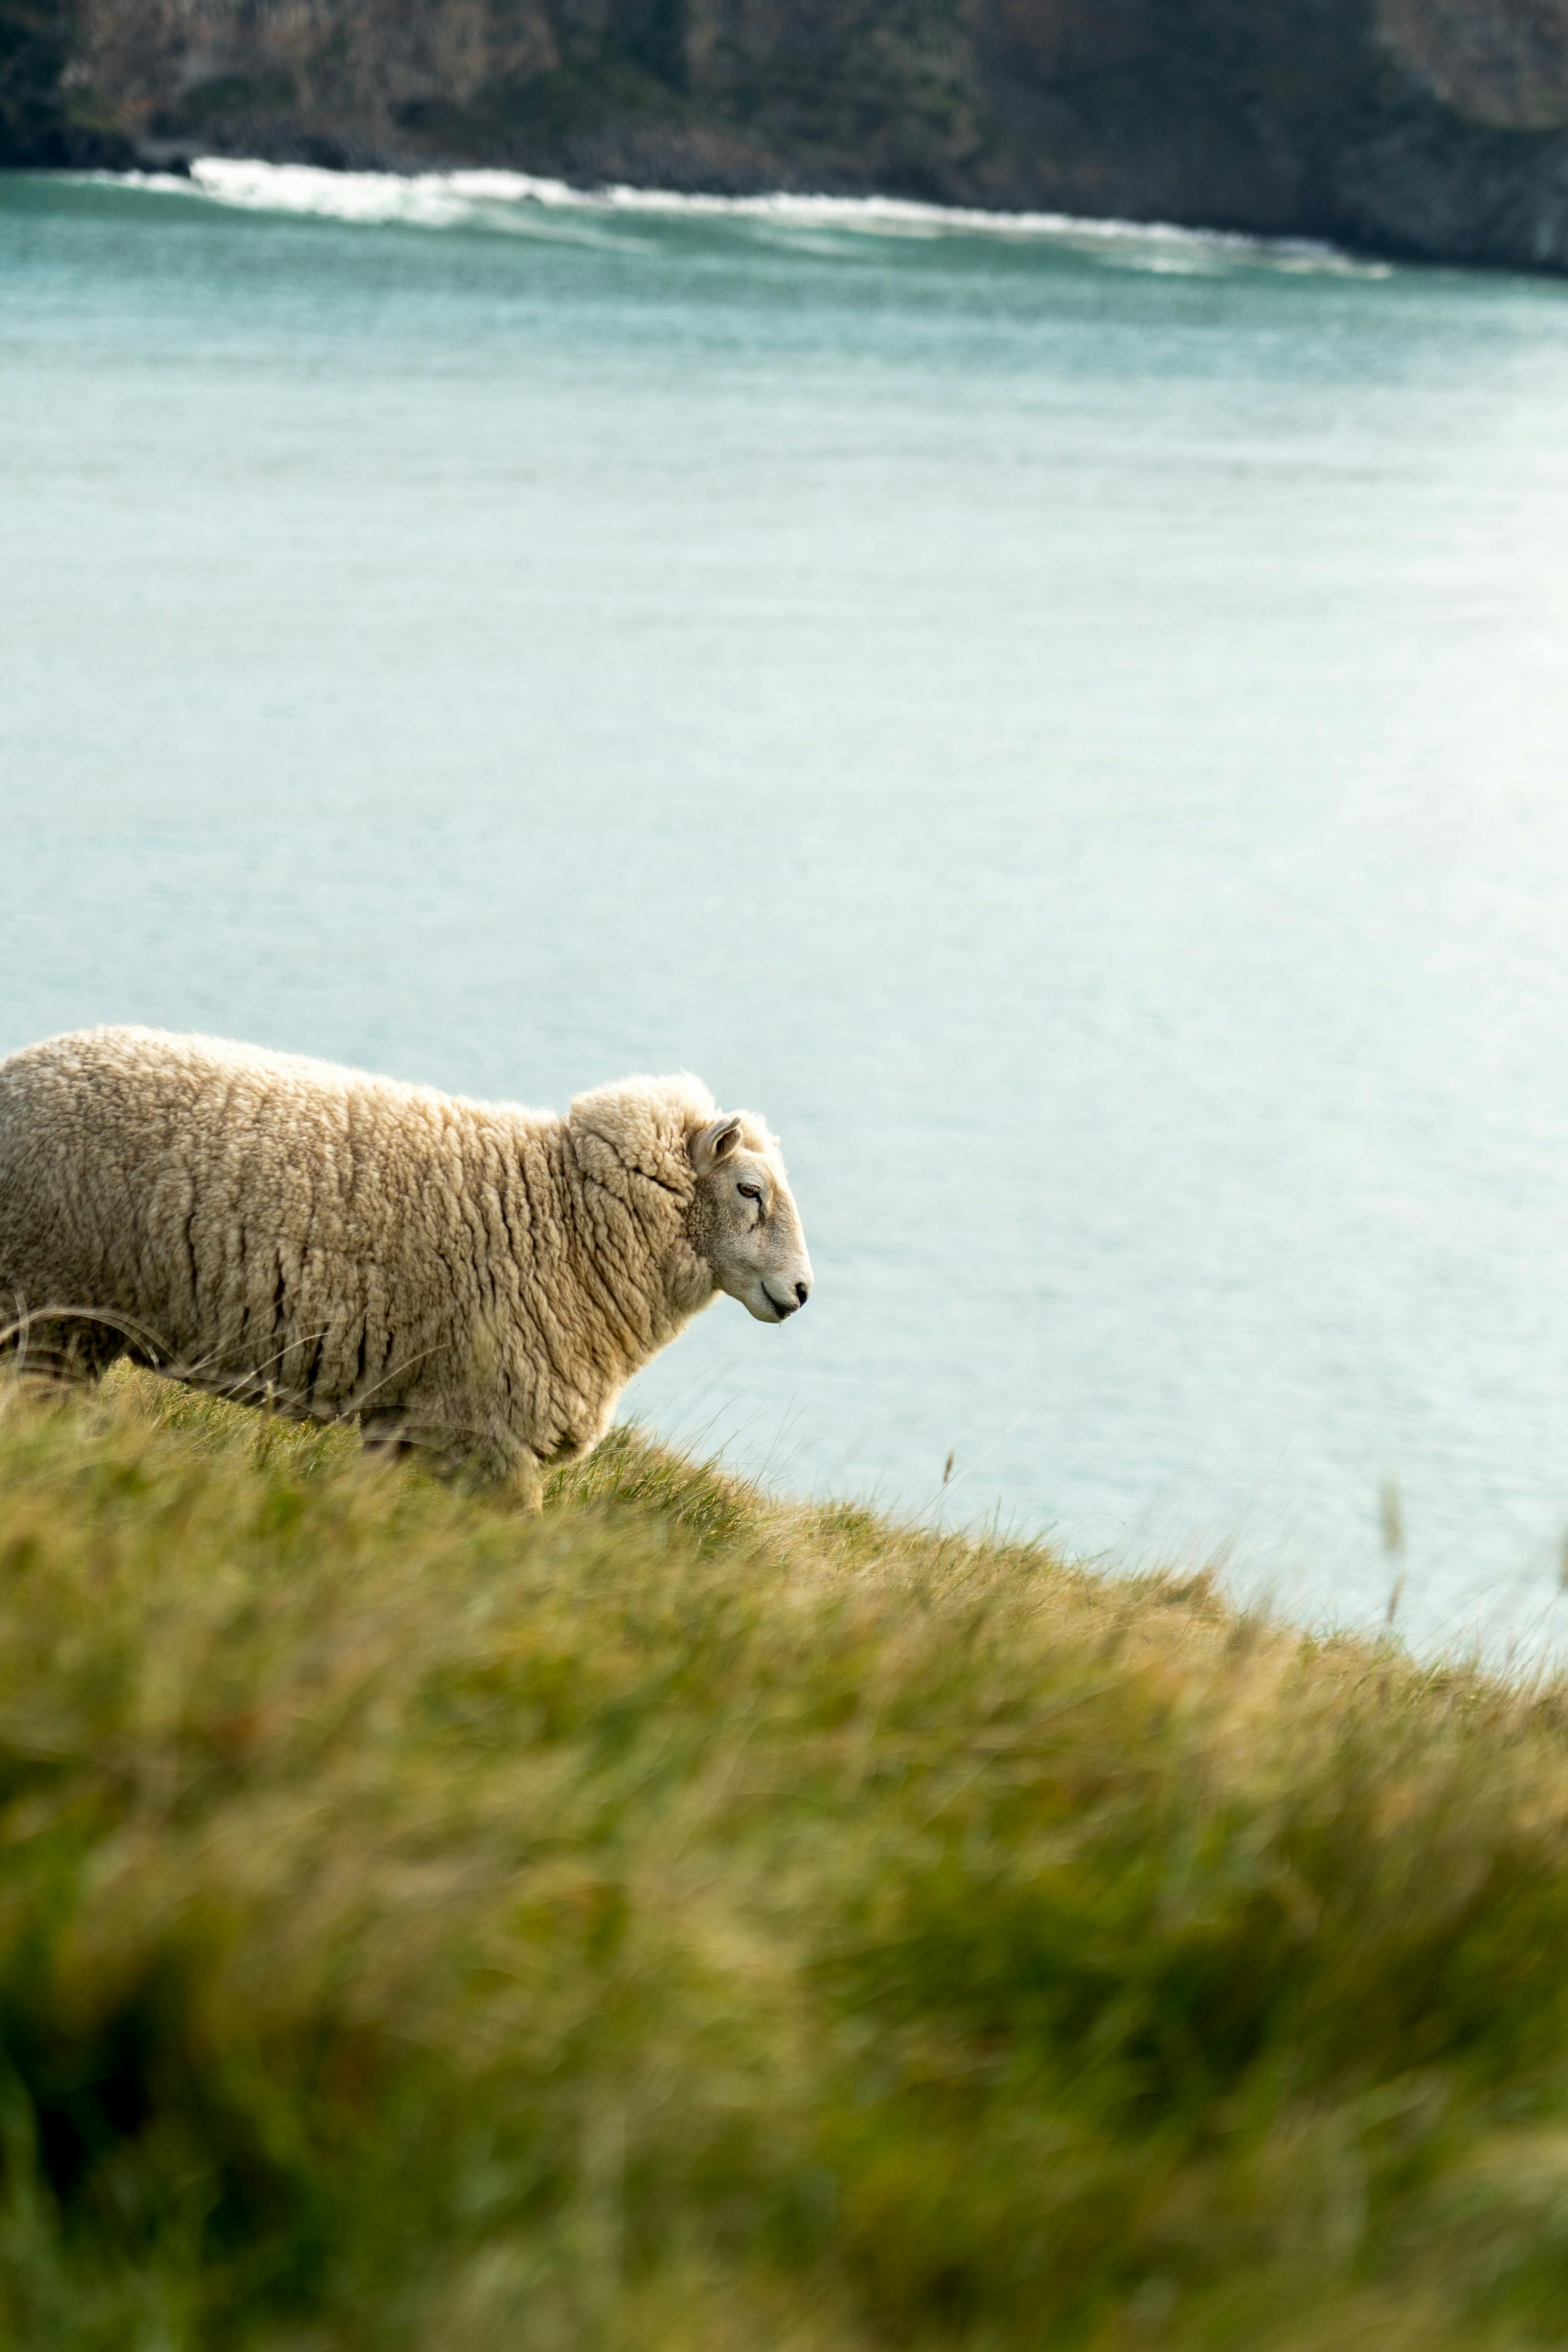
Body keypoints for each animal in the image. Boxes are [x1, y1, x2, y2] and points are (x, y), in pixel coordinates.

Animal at [0, 1027, 813, 1503]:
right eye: (749, 1190)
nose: (802, 1292)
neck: (565, 1214)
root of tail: (18, 1071)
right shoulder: (484, 1424)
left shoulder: (412, 1419)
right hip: (48, 1303)